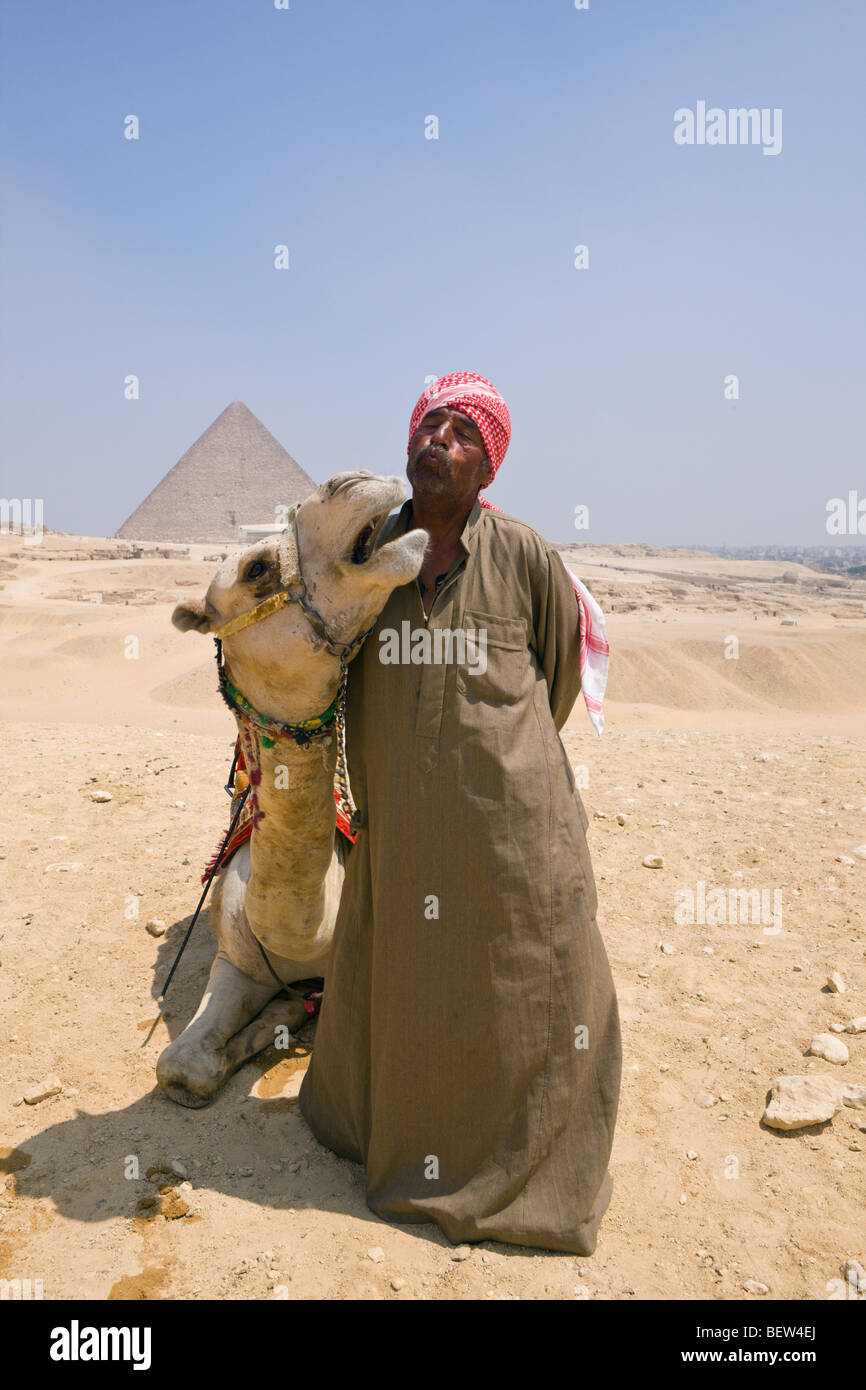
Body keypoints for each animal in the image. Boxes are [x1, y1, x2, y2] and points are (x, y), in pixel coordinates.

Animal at [156, 471, 427, 1107]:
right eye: (256, 568)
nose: (353, 481)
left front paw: (286, 1014)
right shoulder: (235, 961)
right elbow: (182, 1065)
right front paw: (276, 1016)